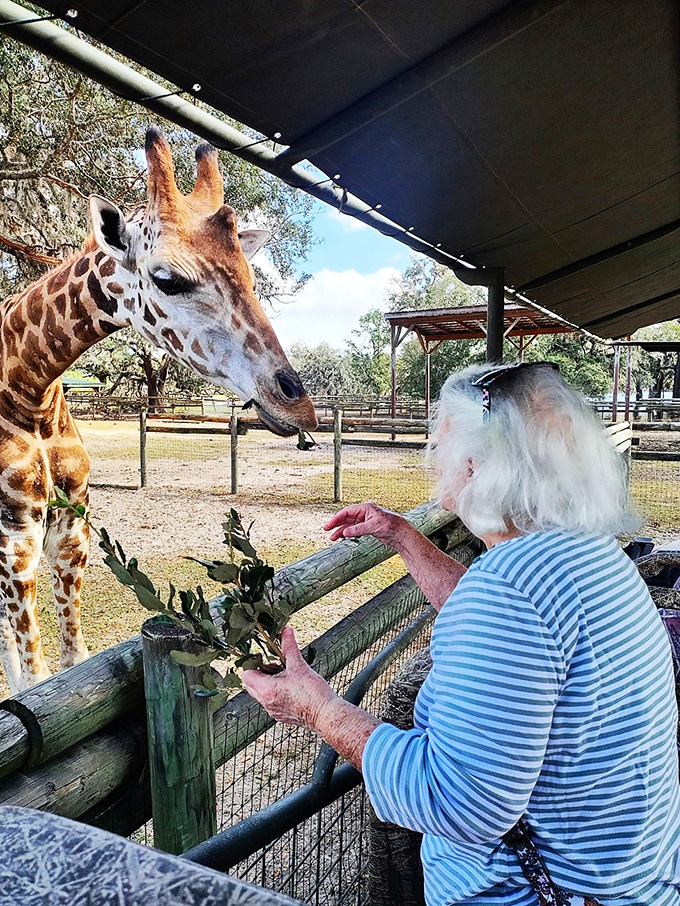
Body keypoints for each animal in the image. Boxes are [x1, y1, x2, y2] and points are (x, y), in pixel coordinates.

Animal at [0, 127, 317, 694]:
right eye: (167, 278)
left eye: (250, 273)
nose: (297, 405)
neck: (29, 386)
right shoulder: (17, 542)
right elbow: (33, 677)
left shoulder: (72, 534)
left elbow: (73, 658)